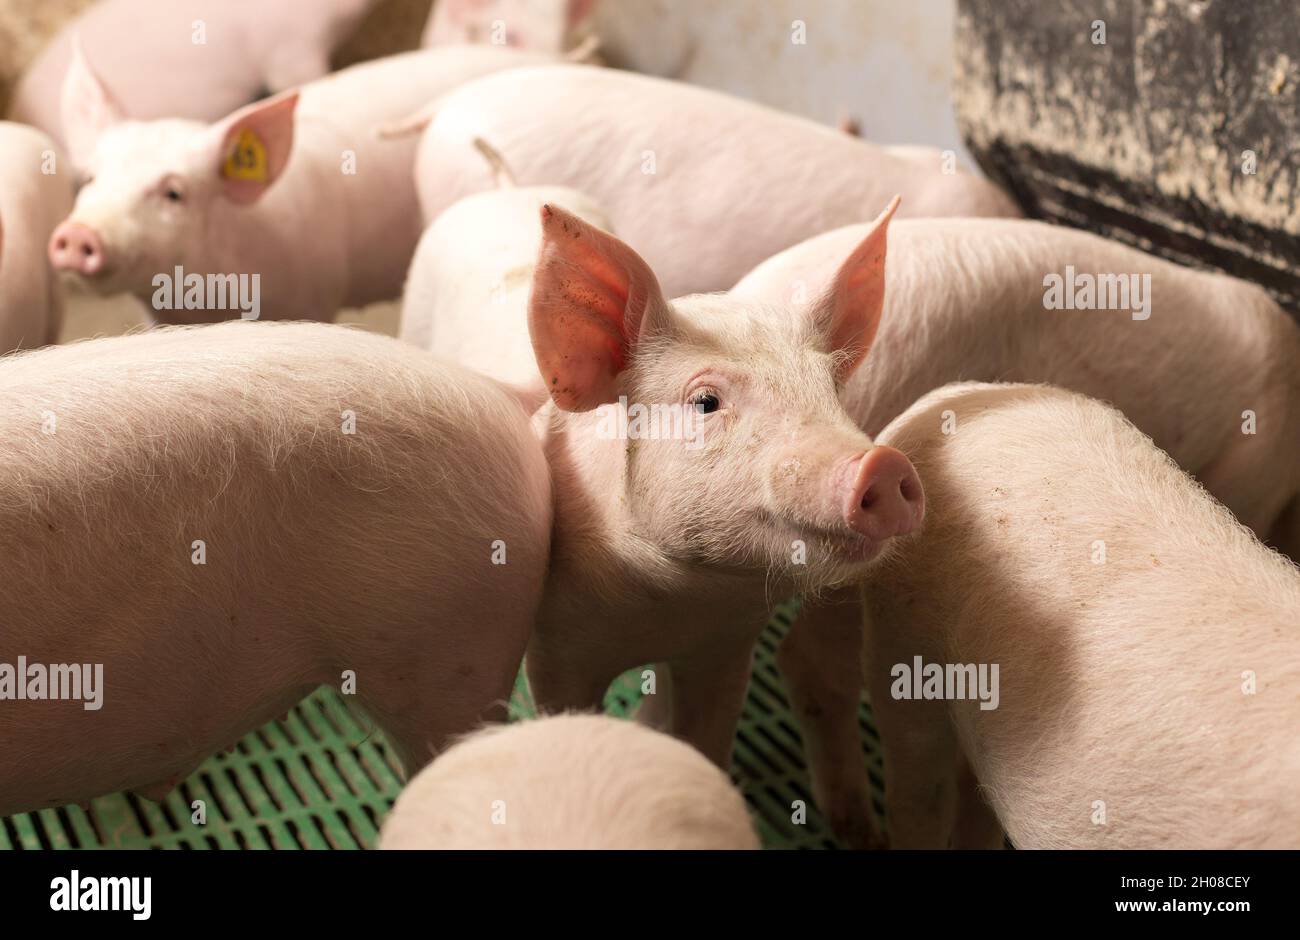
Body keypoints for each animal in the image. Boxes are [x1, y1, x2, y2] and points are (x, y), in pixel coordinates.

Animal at [516, 201, 924, 770]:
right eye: (706, 401)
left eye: (832, 389)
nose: (883, 463)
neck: (668, 603)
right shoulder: (555, 647)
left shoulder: (726, 648)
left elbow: (707, 737)